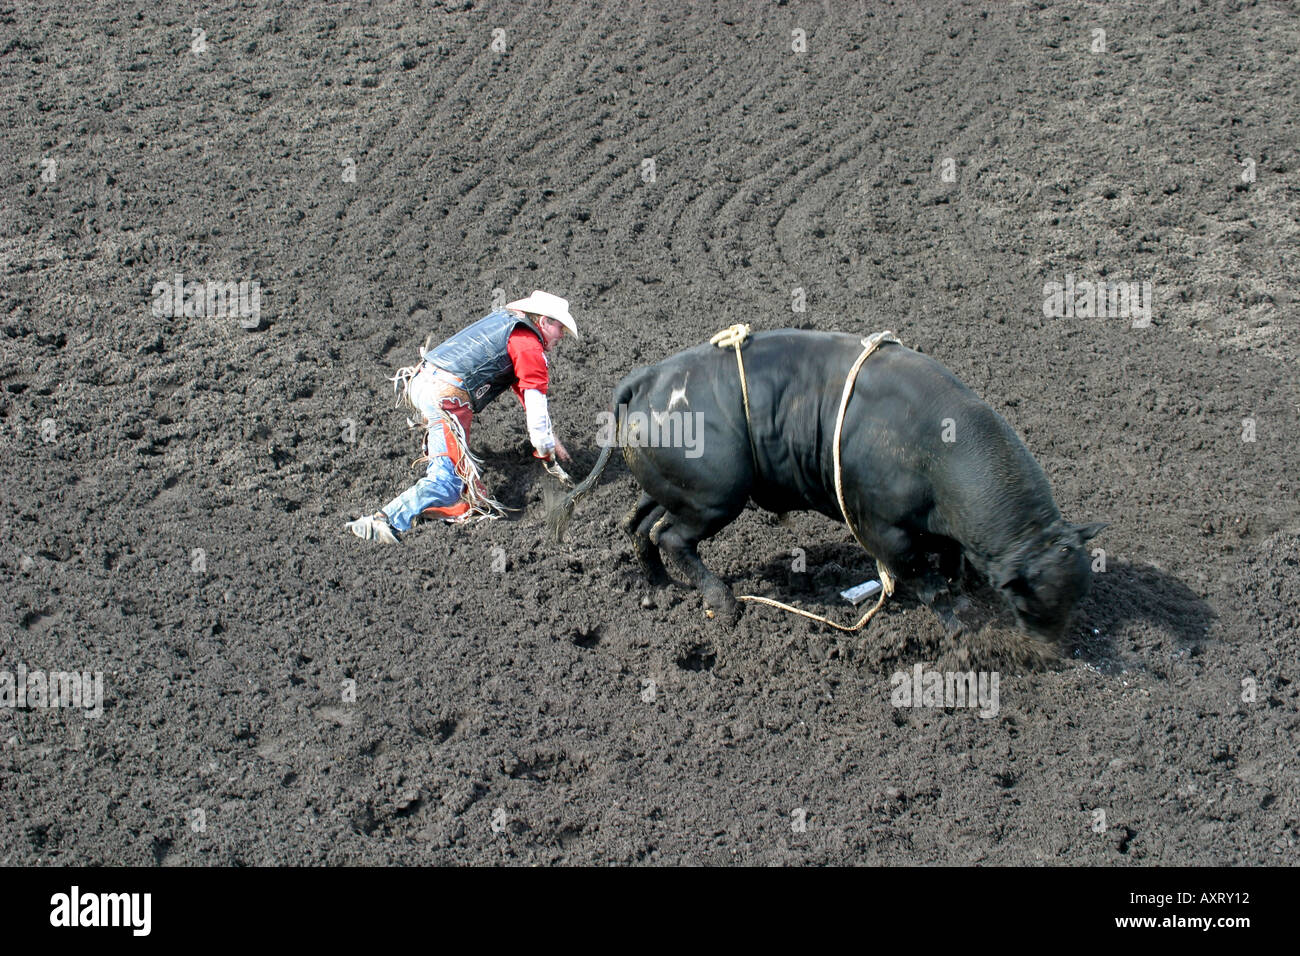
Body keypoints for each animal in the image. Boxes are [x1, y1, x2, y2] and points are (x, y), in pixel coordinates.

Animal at [548, 329, 1105, 643]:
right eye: (1029, 604)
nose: (1050, 652)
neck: (937, 446)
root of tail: (648, 377)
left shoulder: (944, 530)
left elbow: (951, 561)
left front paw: (963, 593)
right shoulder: (884, 531)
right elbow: (923, 578)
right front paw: (957, 621)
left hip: (672, 489)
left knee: (639, 524)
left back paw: (657, 583)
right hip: (715, 500)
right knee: (672, 537)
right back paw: (723, 600)